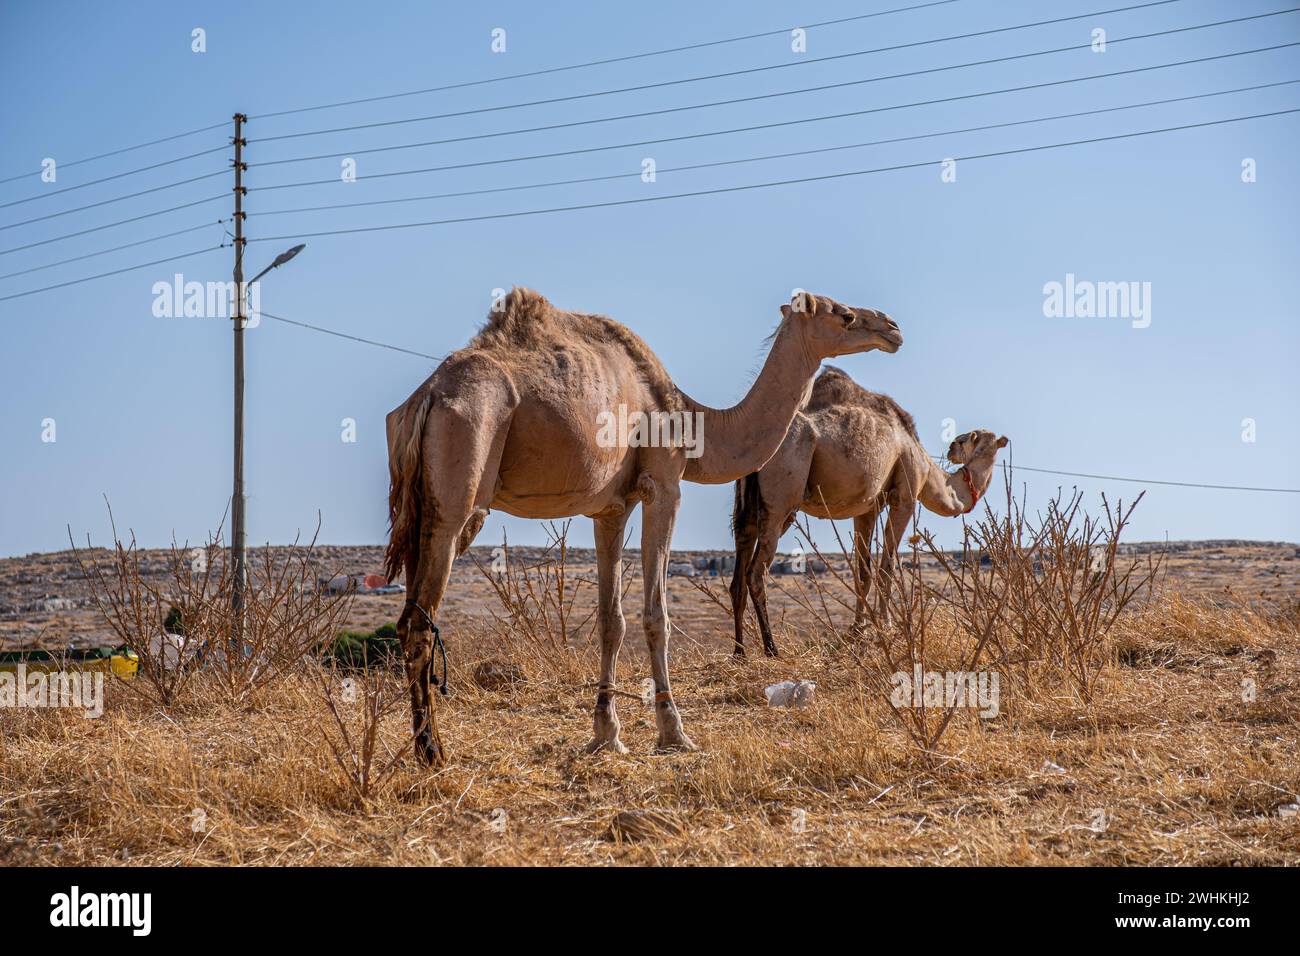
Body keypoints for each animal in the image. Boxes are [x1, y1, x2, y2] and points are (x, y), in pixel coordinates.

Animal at [385, 288, 902, 764]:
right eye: (846, 314)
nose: (893, 328)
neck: (693, 423)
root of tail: (427, 398)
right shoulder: (664, 485)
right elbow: (657, 616)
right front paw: (673, 732)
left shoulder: (610, 508)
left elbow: (611, 620)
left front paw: (605, 734)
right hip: (462, 483)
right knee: (419, 621)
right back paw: (432, 752)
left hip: (420, 510)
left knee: (410, 614)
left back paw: (424, 746)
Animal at [729, 366, 1008, 657]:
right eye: (969, 438)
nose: (953, 445)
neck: (924, 464)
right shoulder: (905, 496)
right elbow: (886, 567)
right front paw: (886, 626)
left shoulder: (867, 507)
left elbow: (863, 572)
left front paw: (857, 631)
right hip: (781, 498)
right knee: (755, 572)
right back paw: (771, 649)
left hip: (746, 498)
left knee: (739, 565)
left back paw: (740, 653)